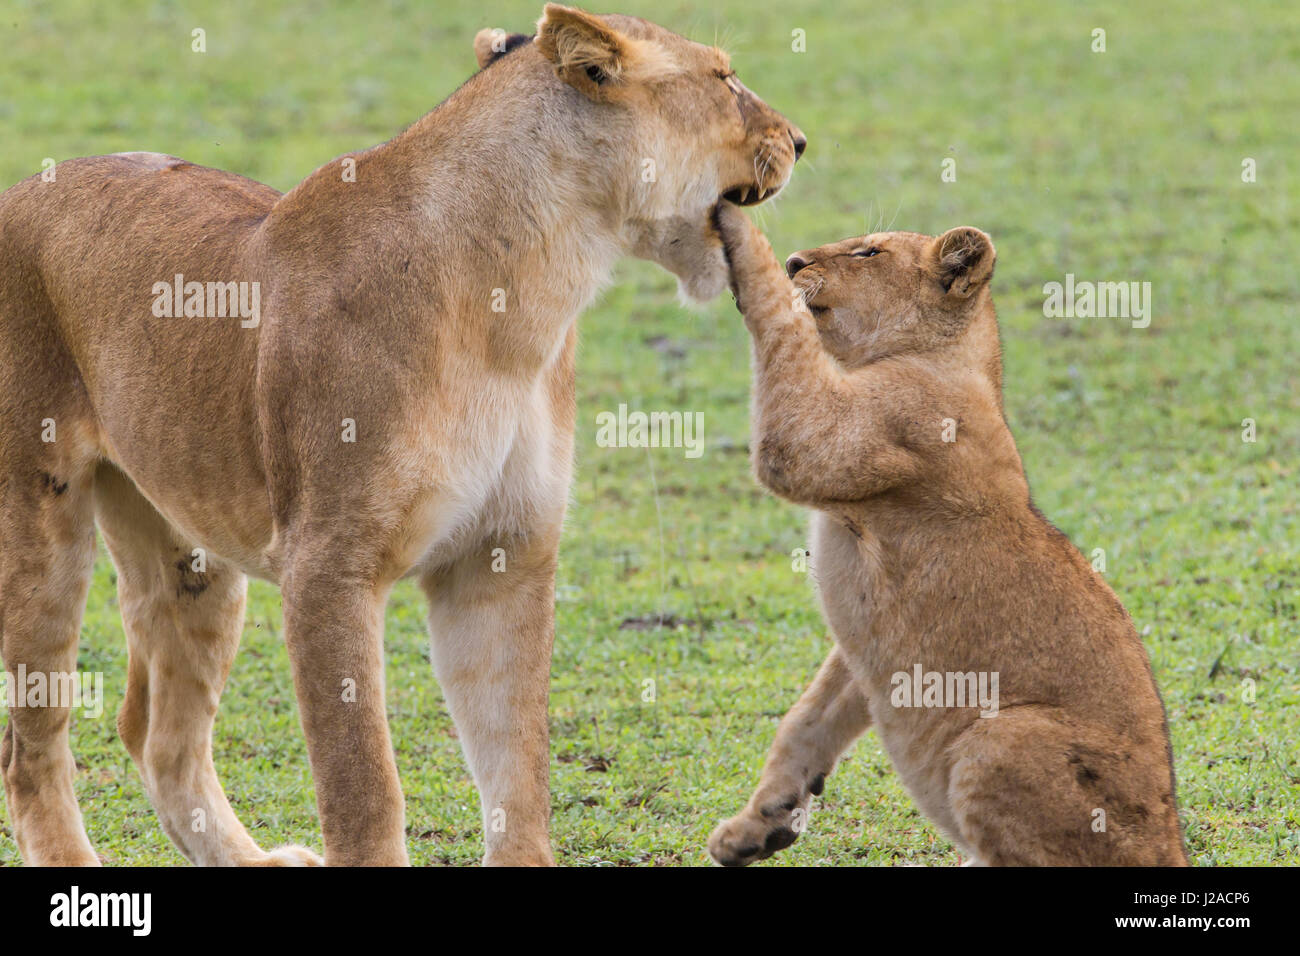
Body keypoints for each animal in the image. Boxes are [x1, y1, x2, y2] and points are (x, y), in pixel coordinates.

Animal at [0, 6, 804, 866]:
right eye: (723, 77)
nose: (798, 139)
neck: (524, 294)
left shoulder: (502, 557)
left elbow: (519, 768)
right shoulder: (328, 566)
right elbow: (364, 784)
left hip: (188, 551)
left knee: (157, 732)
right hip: (40, 529)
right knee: (33, 742)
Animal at [705, 205, 1188, 866]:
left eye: (869, 253)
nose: (796, 260)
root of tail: (1172, 847)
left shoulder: (825, 438)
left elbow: (782, 323)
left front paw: (738, 228)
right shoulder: (862, 652)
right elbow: (806, 720)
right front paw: (756, 827)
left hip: (999, 739)